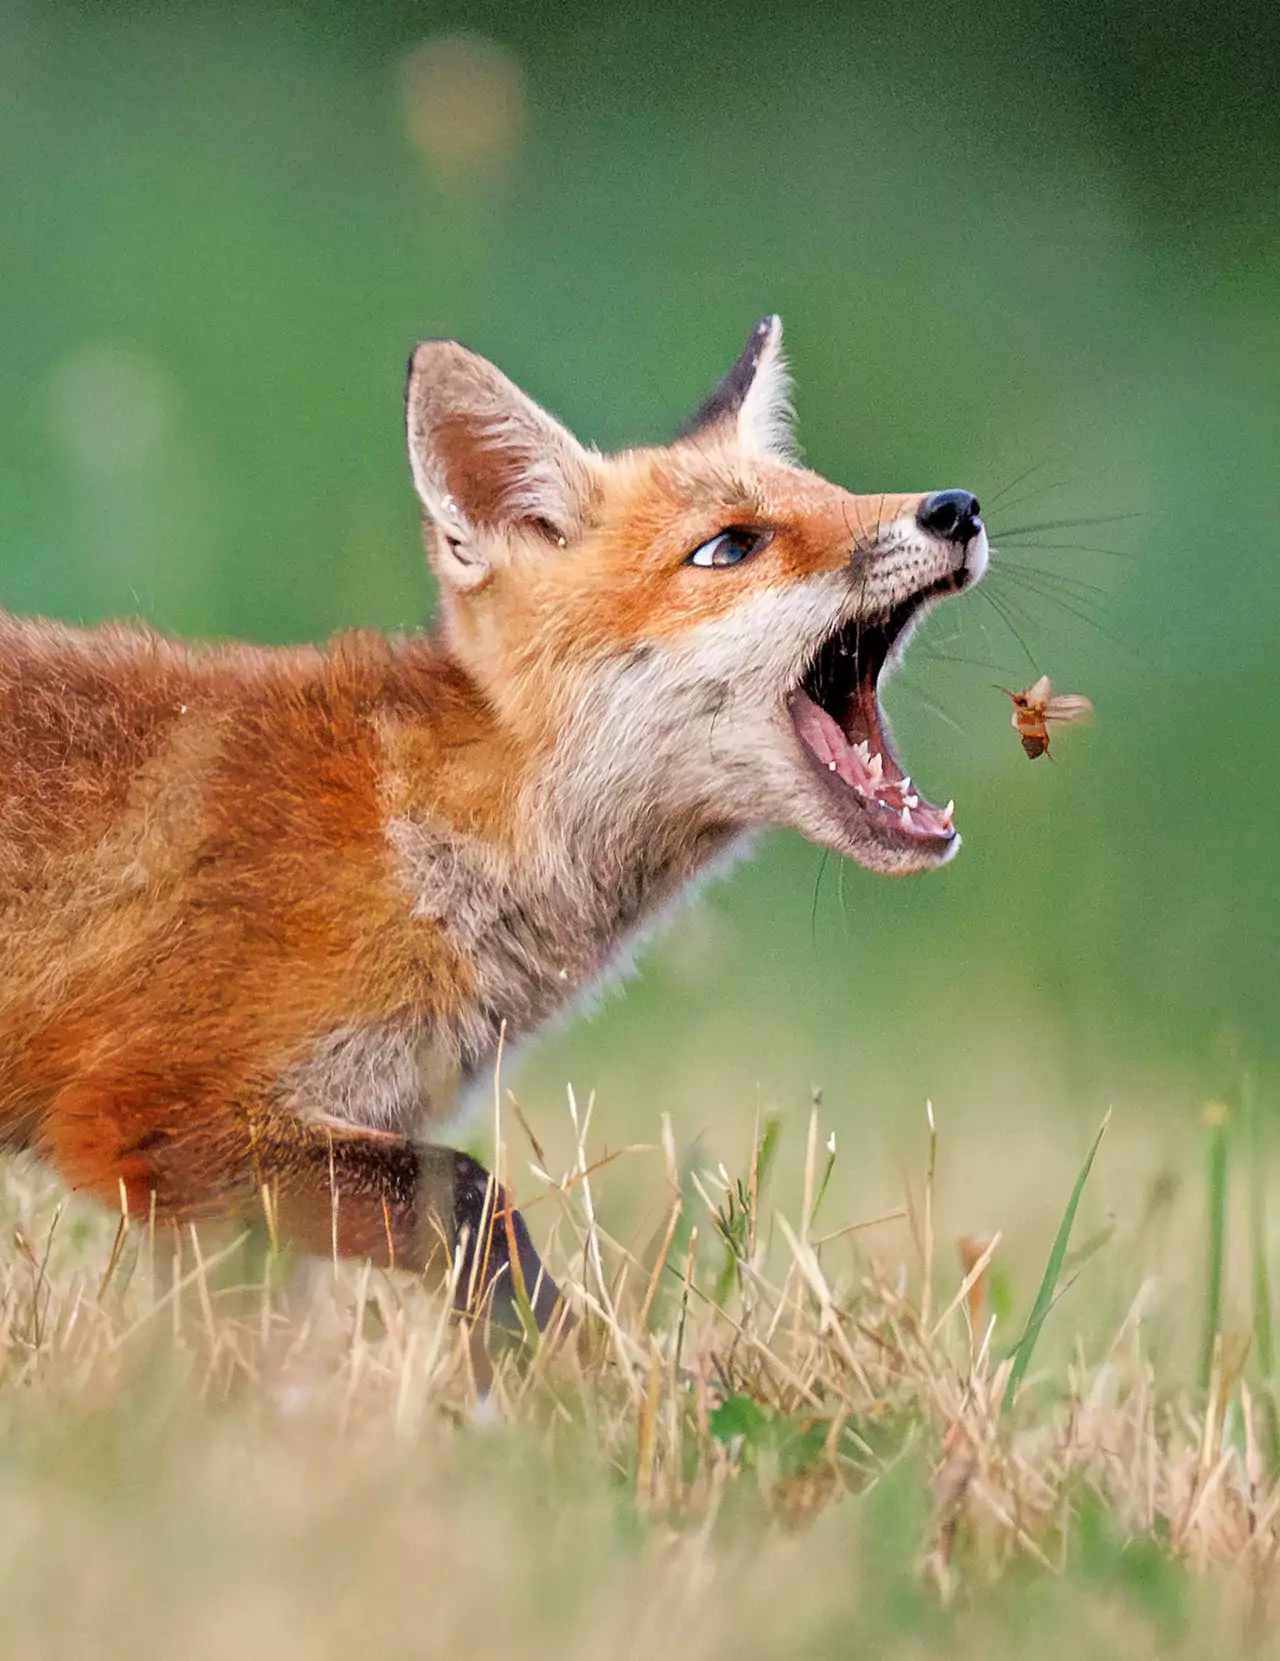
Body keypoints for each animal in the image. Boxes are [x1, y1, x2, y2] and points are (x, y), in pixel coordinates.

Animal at [0, 316, 987, 1331]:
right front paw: (546, 1359)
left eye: (832, 496)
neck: (416, 836)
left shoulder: (257, 1196)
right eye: (729, 548)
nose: (956, 508)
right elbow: (480, 1200)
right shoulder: (148, 1110)